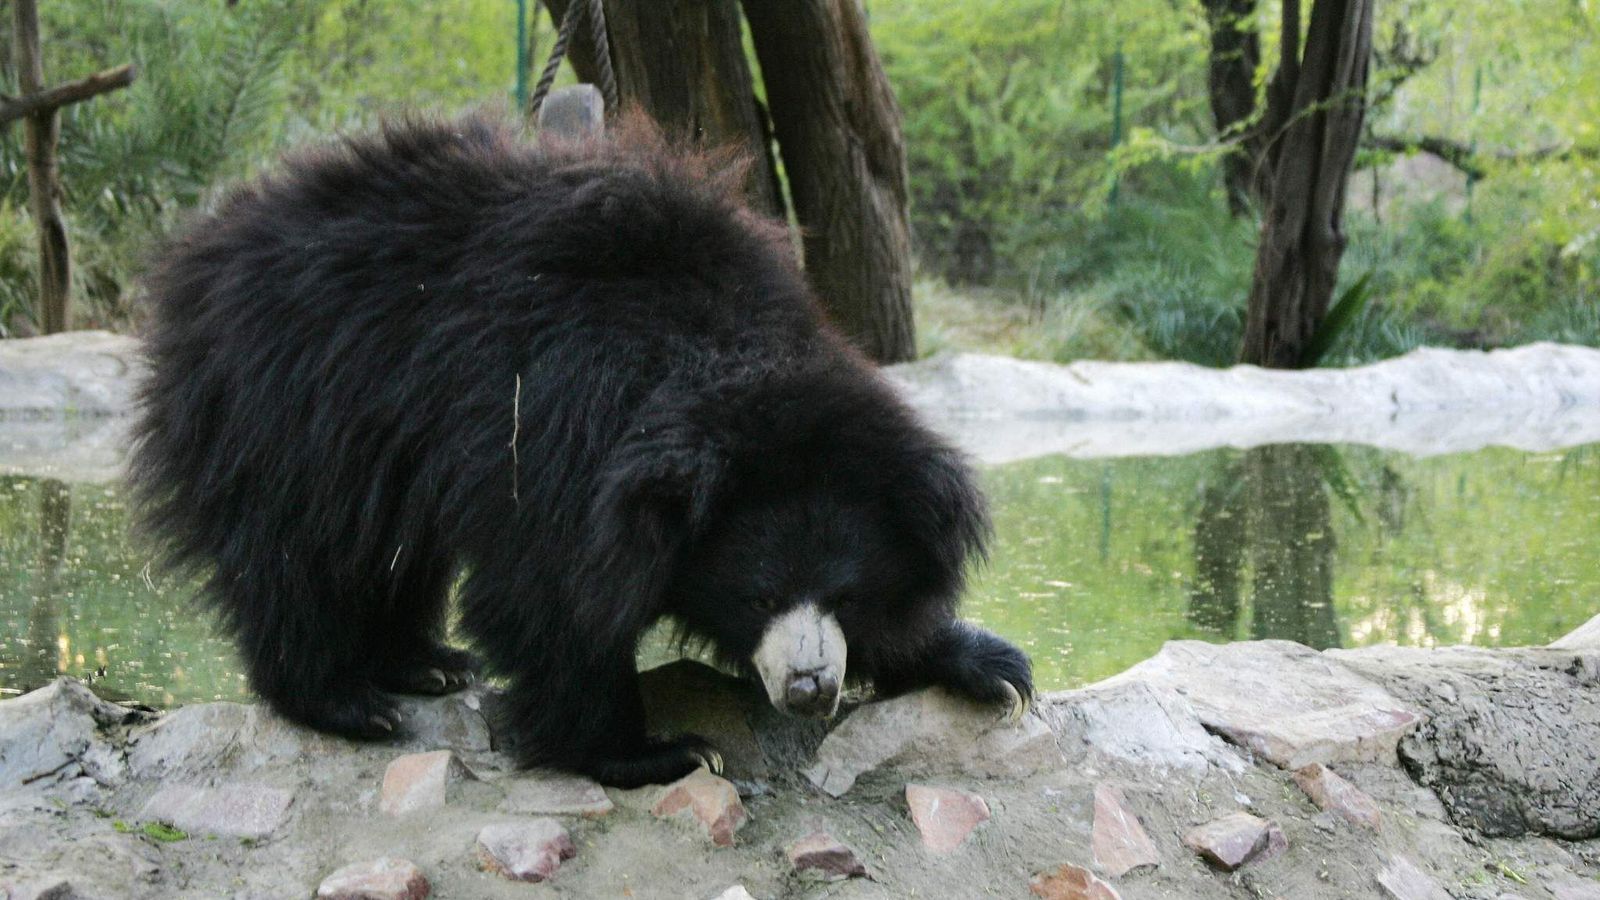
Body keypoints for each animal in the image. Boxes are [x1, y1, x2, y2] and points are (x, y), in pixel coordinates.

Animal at [129, 112, 1033, 788]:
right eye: (759, 594)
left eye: (846, 594)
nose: (811, 689)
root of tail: (211, 243)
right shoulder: (555, 423)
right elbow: (553, 589)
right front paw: (655, 752)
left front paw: (982, 663)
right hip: (294, 402)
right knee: (305, 548)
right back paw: (344, 700)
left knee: (390, 549)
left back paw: (424, 664)